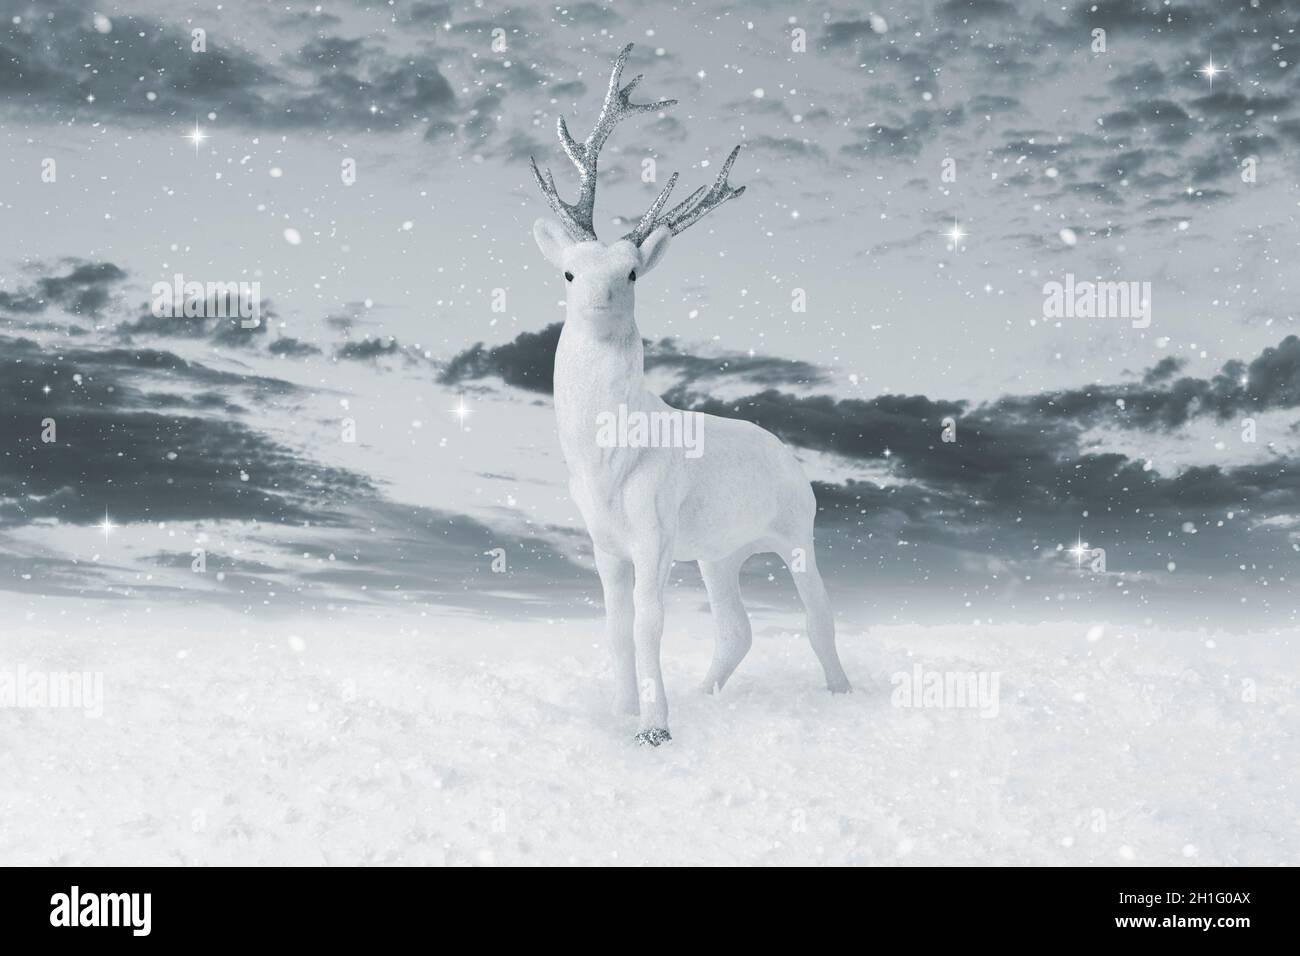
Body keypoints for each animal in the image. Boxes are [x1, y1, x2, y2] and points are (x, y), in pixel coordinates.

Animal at [529, 43, 850, 746]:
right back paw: (706, 695)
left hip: (797, 530)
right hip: (719, 553)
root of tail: (788, 452)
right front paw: (624, 710)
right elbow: (614, 628)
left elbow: (650, 623)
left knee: (819, 614)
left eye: (630, 273)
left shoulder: (655, 533)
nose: (598, 301)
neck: (606, 461)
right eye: (568, 272)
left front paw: (655, 728)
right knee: (737, 627)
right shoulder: (604, 543)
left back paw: (843, 693)